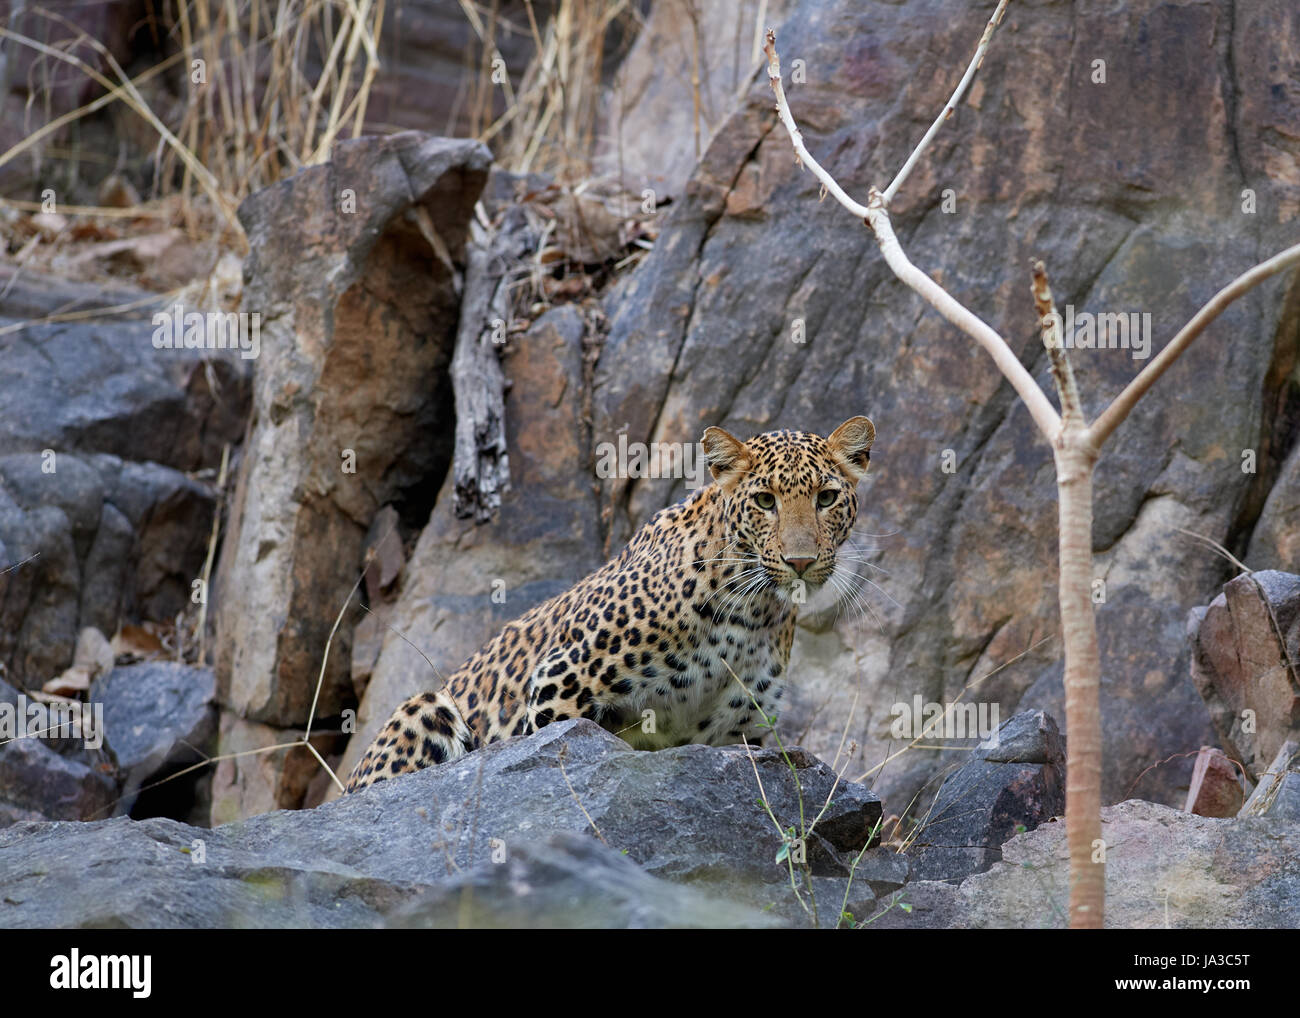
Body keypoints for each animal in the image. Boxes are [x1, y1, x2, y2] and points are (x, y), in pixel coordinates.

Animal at [345, 416, 876, 792]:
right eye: (765, 501)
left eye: (827, 497)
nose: (801, 562)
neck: (753, 611)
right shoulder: (561, 684)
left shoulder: (734, 733)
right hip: (426, 705)